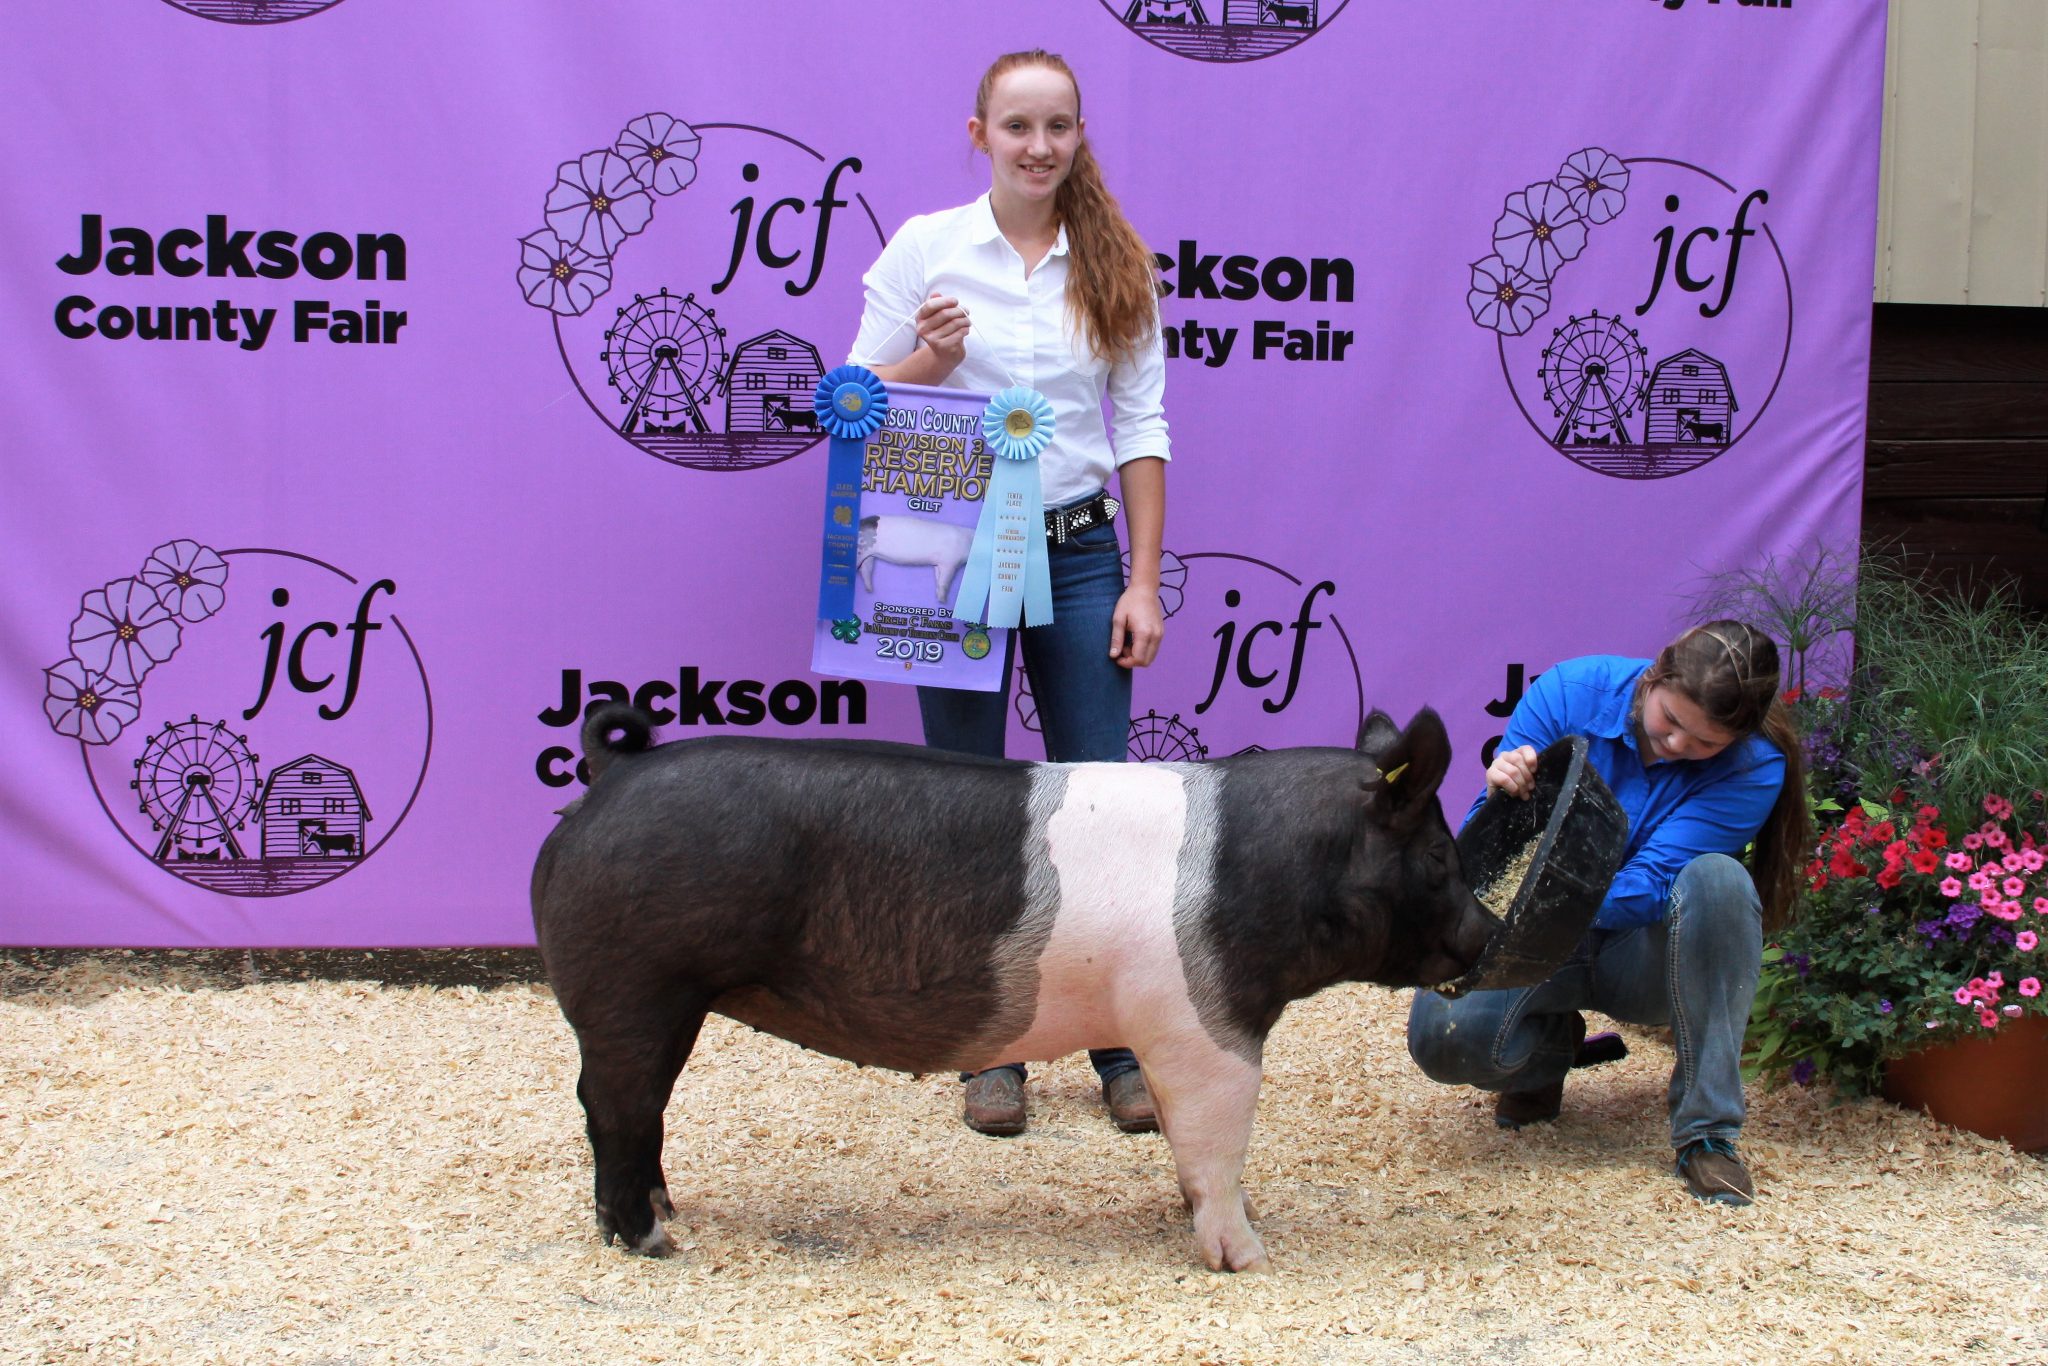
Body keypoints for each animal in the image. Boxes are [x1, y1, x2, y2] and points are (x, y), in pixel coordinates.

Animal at [531, 701, 1501, 1272]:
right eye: (1439, 855)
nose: (1489, 933)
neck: (1284, 873)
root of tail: (609, 777)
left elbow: (1187, 1142)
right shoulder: (1204, 1022)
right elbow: (1219, 1139)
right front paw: (1248, 1258)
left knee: (636, 1113)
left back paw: (667, 1212)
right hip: (634, 987)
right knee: (612, 1108)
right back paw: (655, 1242)